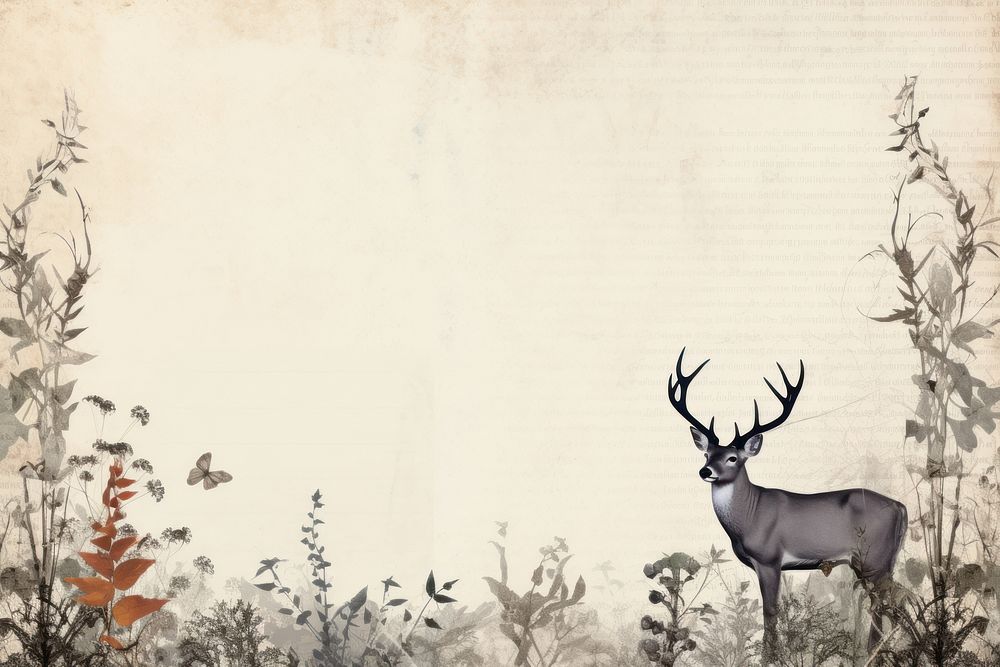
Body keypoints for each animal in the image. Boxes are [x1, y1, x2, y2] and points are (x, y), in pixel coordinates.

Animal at [667, 349, 907, 661]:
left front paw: (770, 659)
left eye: (733, 458)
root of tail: (901, 507)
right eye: (707, 454)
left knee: (888, 605)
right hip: (877, 562)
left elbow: (770, 613)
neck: (749, 516)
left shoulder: (770, 559)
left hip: (874, 559)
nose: (705, 471)